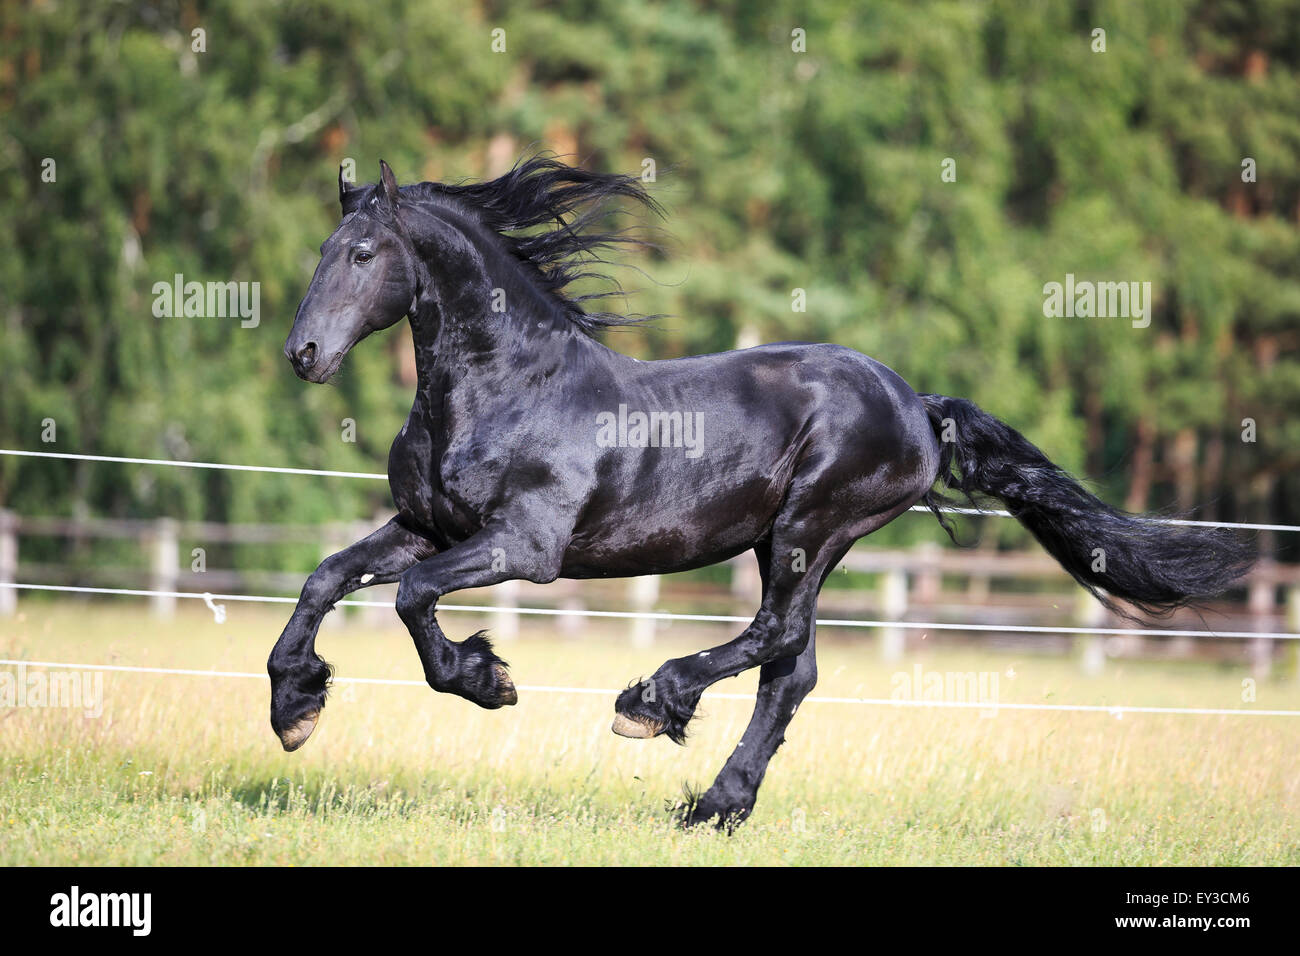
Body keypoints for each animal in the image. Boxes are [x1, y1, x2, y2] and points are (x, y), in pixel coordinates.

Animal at [267, 156, 1252, 829]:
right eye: (319, 250)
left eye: (362, 253)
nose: (303, 354)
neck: (507, 387)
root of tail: (919, 405)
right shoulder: (425, 525)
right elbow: (328, 577)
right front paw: (294, 709)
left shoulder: (526, 547)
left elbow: (411, 597)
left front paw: (488, 681)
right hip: (789, 541)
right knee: (791, 669)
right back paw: (715, 805)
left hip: (814, 527)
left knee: (775, 640)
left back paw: (651, 706)